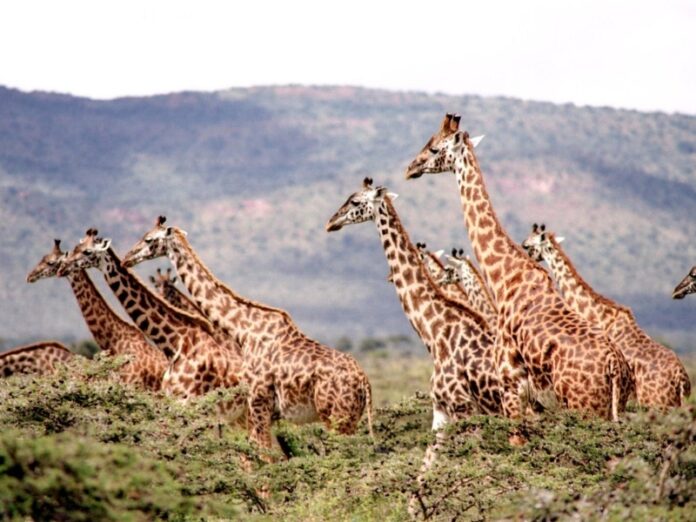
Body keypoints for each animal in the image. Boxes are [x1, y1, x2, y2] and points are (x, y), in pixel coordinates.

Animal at [121, 216, 373, 453]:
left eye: (149, 239)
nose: (126, 258)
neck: (244, 330)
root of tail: (364, 382)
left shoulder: (258, 400)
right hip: (348, 418)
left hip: (336, 417)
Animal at [405, 114, 632, 420]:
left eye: (433, 148)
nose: (410, 169)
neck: (505, 277)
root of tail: (615, 368)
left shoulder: (510, 383)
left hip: (583, 406)